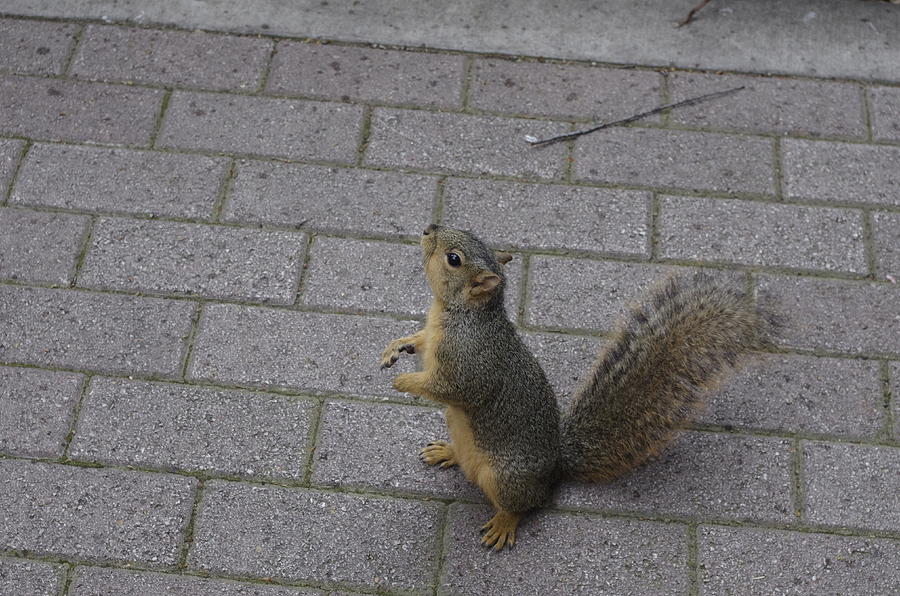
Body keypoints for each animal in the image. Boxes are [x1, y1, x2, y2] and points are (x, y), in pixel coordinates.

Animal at [380, 224, 774, 550]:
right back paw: (446, 451)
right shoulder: (432, 336)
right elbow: (418, 340)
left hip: (505, 477)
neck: (460, 314)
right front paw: (395, 348)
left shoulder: (471, 365)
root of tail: (556, 467)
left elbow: (451, 389)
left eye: (453, 259)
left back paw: (504, 524)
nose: (429, 228)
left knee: (526, 504)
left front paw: (404, 381)